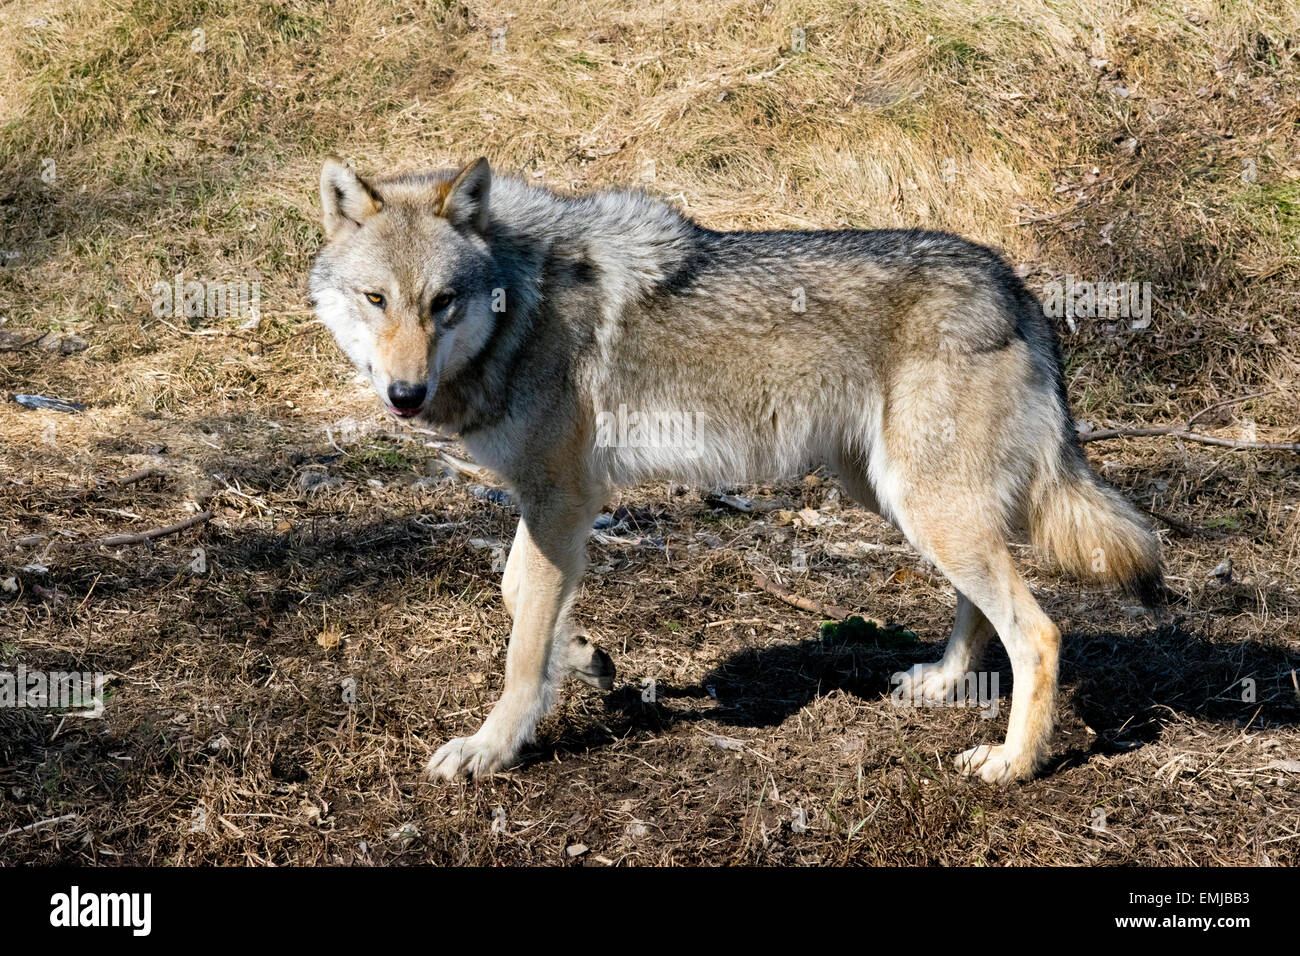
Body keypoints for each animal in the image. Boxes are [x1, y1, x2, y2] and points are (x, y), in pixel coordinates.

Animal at [309, 156, 1164, 784]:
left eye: (443, 302)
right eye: (376, 298)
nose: (405, 394)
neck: (520, 306)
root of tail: (1017, 288)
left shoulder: (562, 498)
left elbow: (519, 651)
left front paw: (491, 749)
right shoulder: (557, 503)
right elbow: (519, 596)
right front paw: (584, 655)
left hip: (928, 506)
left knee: (1039, 632)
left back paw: (1013, 763)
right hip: (901, 499)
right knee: (981, 608)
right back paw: (941, 685)